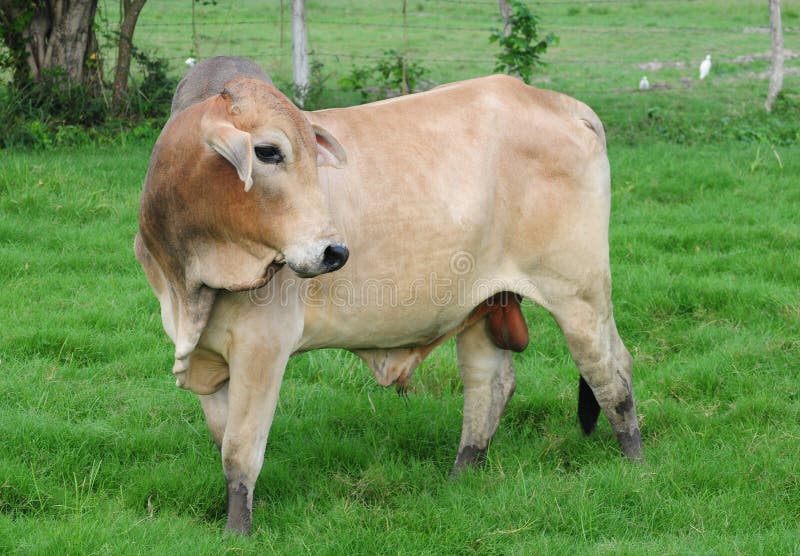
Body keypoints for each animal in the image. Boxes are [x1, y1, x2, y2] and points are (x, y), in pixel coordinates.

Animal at [134, 56, 643, 535]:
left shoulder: (263, 347)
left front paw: (237, 534)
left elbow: (240, 452)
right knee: (491, 385)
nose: (335, 251)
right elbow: (222, 441)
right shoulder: (207, 354)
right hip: (486, 302)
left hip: (579, 294)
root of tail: (564, 105)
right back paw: (461, 476)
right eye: (267, 151)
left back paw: (635, 465)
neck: (192, 280)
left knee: (611, 370)